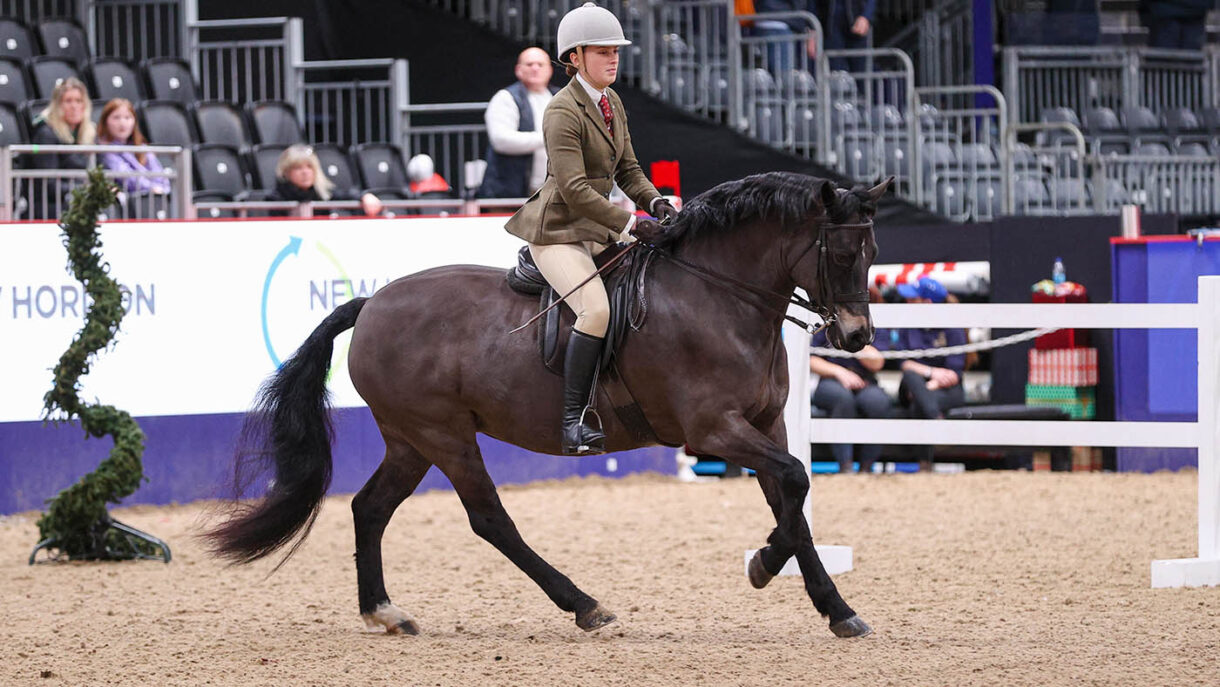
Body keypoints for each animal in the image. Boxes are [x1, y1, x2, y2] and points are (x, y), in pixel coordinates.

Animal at [205, 172, 888, 638]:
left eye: (874, 254)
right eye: (841, 253)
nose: (857, 337)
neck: (717, 297)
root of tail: (372, 303)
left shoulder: (765, 425)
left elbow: (792, 499)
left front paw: (831, 605)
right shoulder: (713, 430)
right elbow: (795, 480)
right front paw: (768, 566)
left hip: (411, 440)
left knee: (370, 509)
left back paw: (384, 612)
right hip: (444, 434)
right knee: (490, 520)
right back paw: (584, 605)